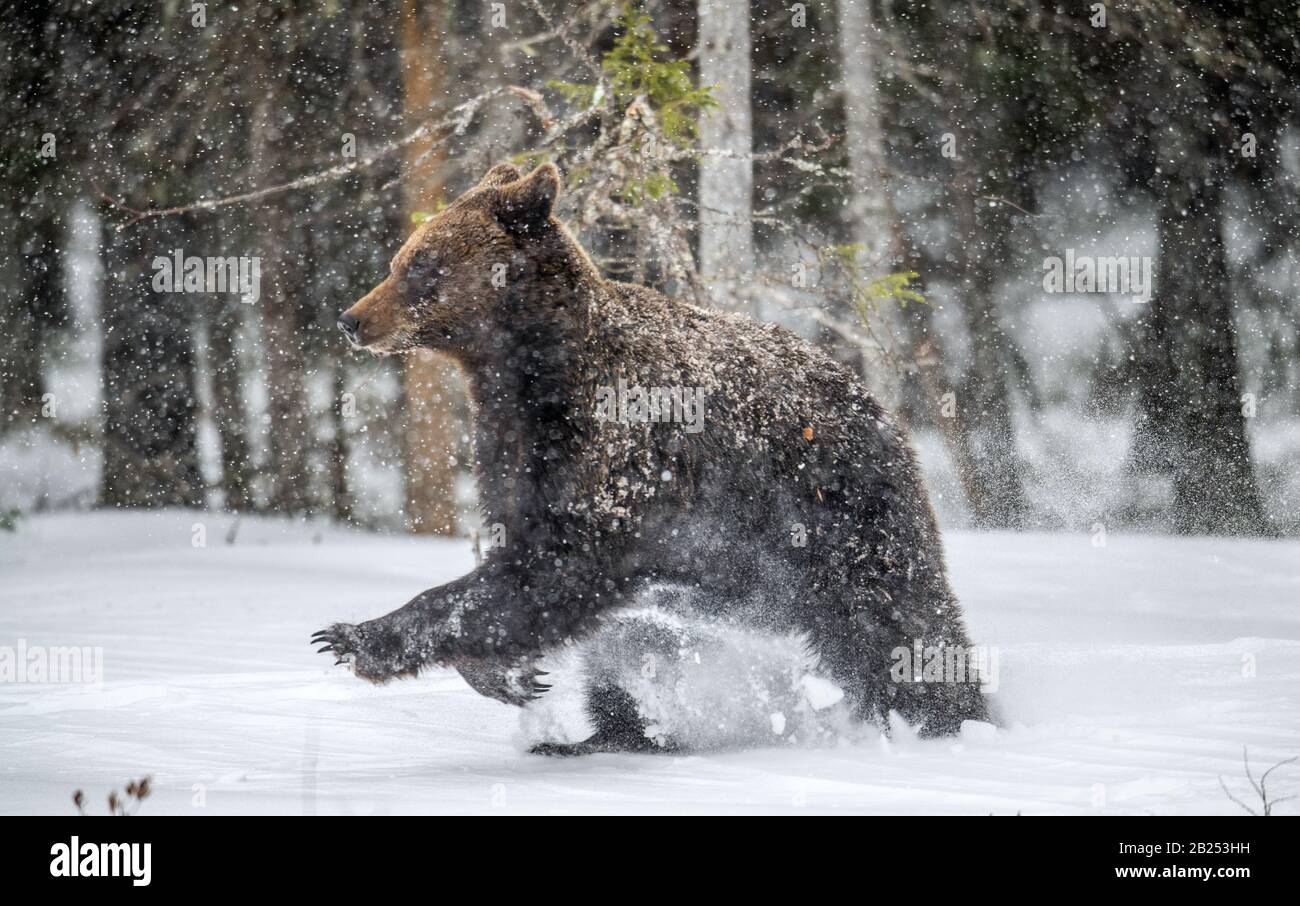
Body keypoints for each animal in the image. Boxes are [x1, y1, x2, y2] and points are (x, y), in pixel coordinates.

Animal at [314, 161, 989, 752]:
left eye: (421, 264)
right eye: (400, 259)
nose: (352, 319)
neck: (528, 374)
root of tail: (876, 405)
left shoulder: (620, 466)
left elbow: (549, 568)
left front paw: (352, 636)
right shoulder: (511, 453)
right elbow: (520, 566)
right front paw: (513, 676)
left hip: (838, 515)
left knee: (893, 620)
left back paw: (948, 722)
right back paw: (602, 736)